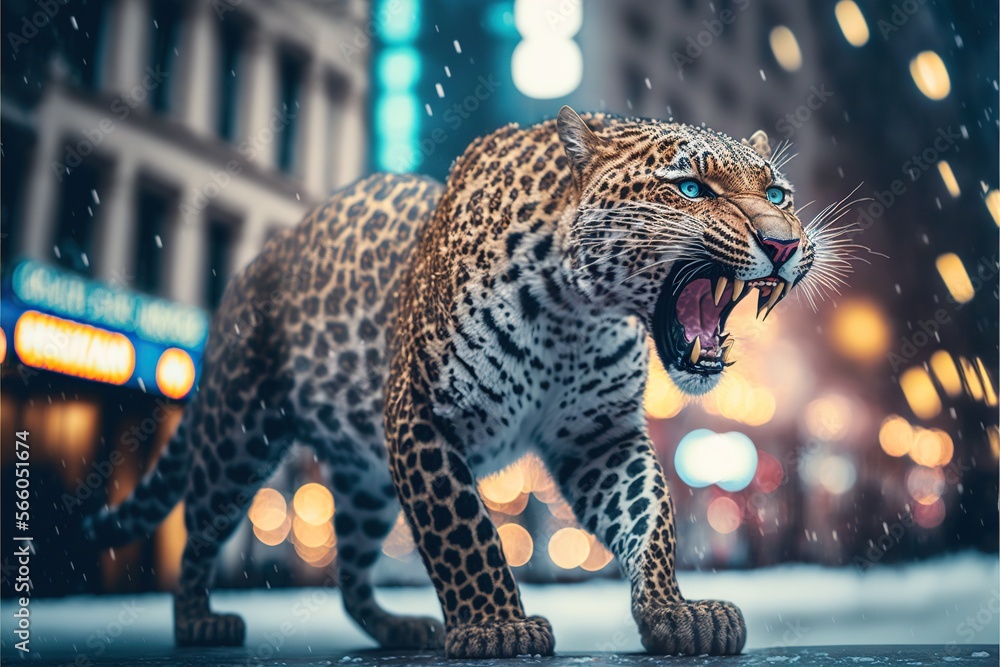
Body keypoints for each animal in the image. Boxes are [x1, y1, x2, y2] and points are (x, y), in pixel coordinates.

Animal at [85, 106, 852, 658]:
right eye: (691, 187)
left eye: (778, 192)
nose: (785, 242)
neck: (578, 314)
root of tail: (249, 272)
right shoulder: (423, 416)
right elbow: (466, 530)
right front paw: (496, 627)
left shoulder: (598, 437)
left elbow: (651, 516)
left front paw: (675, 612)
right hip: (239, 436)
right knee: (199, 528)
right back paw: (198, 620)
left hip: (365, 481)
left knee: (349, 571)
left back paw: (399, 627)